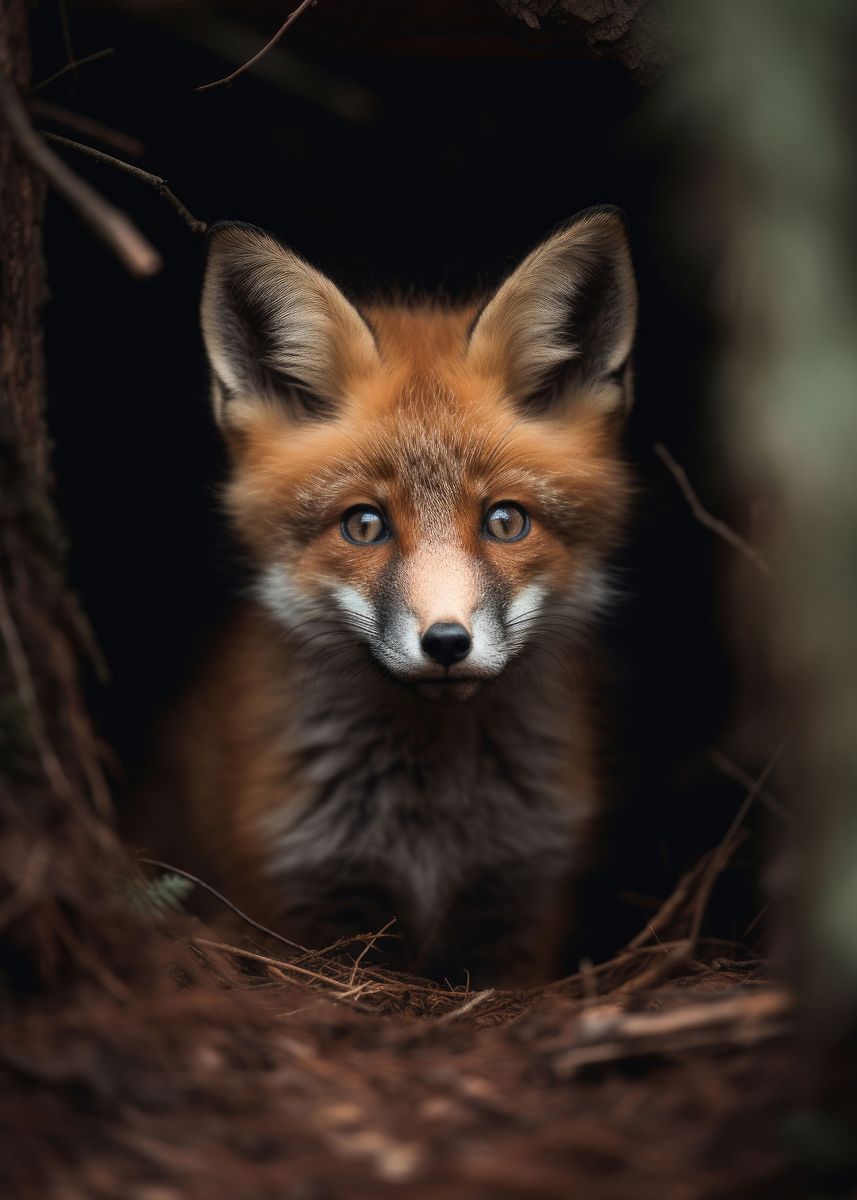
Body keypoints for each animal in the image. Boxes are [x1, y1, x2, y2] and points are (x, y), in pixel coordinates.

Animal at [149, 207, 637, 988]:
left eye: (506, 521)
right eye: (364, 524)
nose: (446, 643)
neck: (428, 821)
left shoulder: (524, 901)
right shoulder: (299, 904)